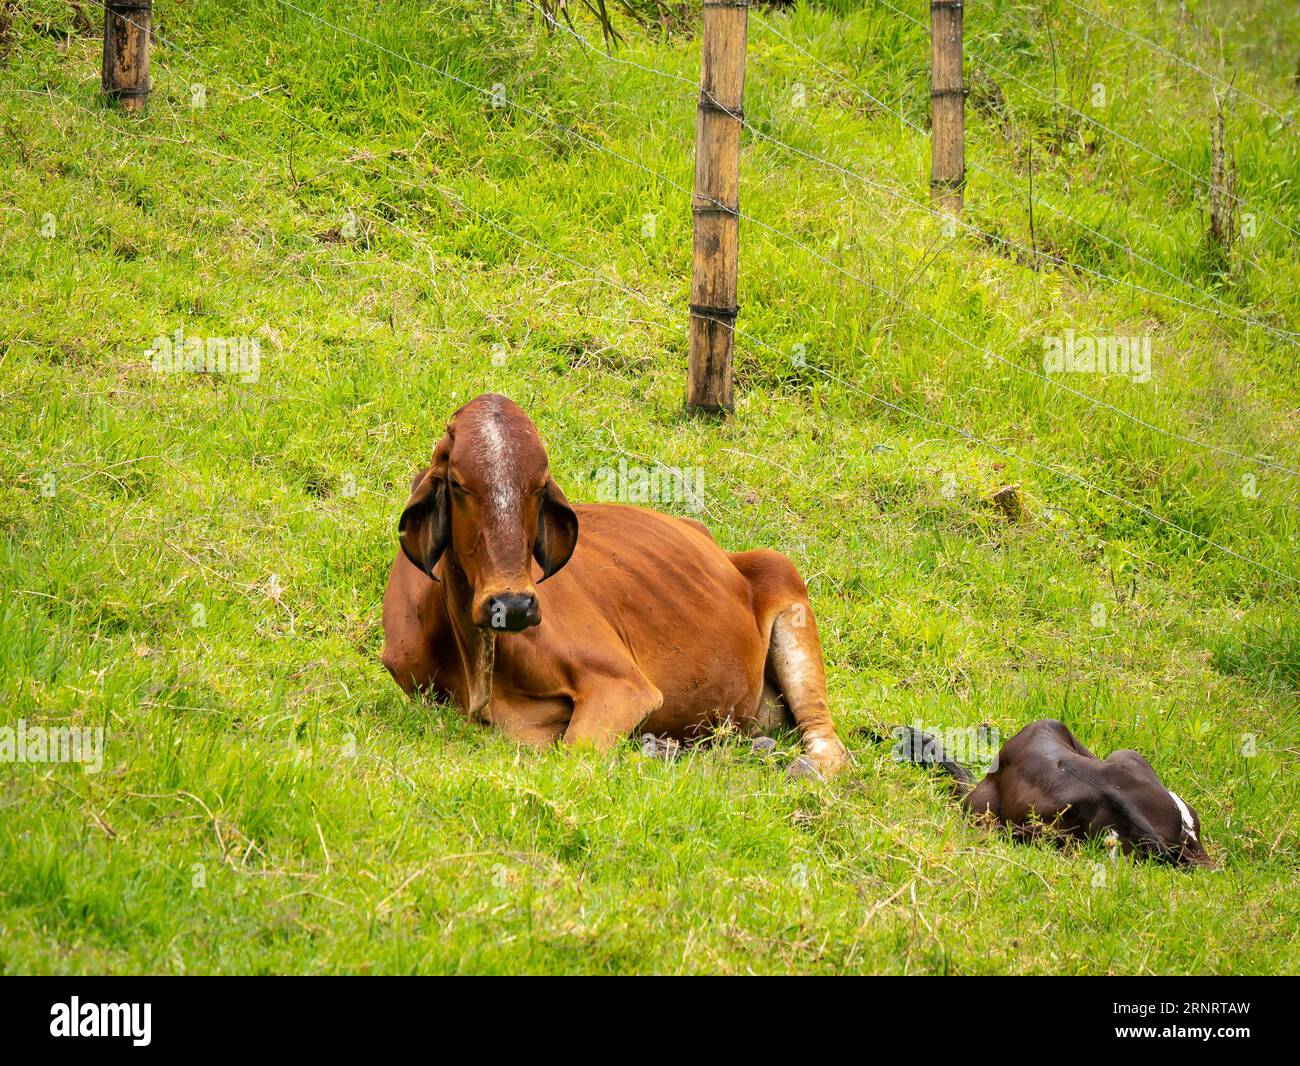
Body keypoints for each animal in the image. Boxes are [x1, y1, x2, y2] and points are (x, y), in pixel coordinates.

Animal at [380, 394, 848, 778]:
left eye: (540, 486)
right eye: (458, 483)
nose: (512, 605)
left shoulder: (622, 685)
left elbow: (575, 751)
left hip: (781, 574)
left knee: (826, 736)